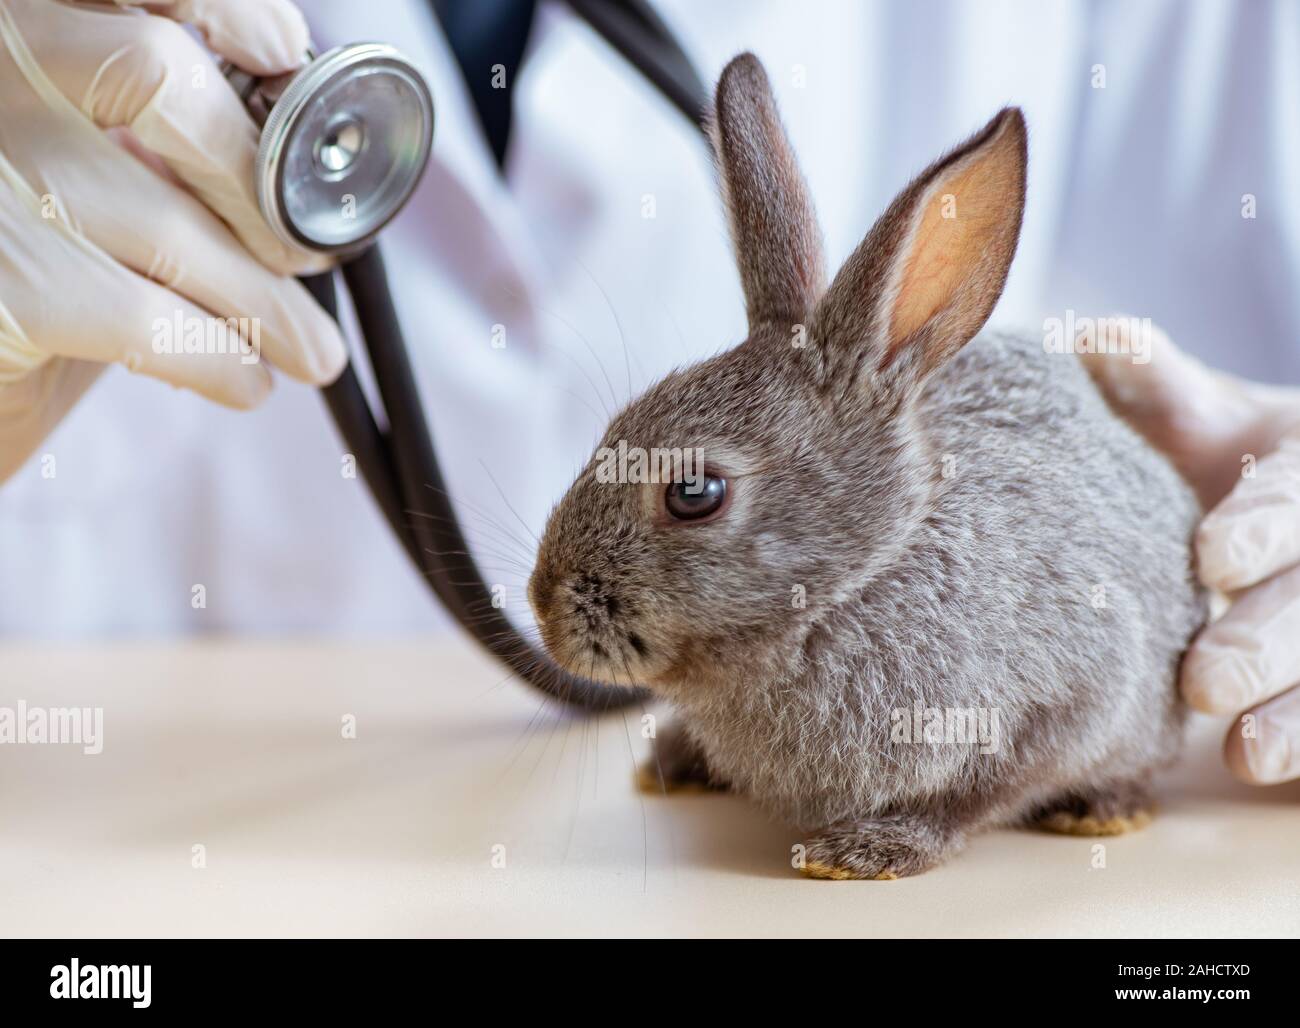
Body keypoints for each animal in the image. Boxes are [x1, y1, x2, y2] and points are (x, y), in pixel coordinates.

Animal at [527, 53, 1207, 879]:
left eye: (695, 491)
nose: (543, 606)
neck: (853, 583)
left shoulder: (1078, 693)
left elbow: (987, 791)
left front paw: (870, 849)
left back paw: (1105, 809)